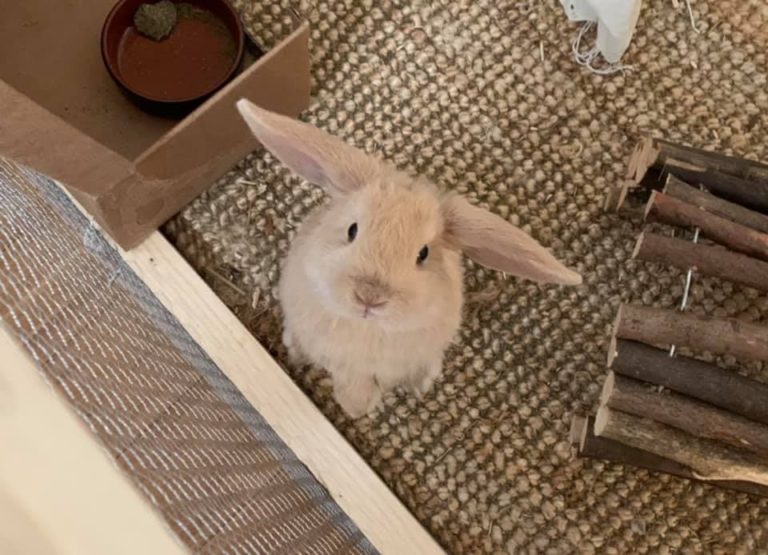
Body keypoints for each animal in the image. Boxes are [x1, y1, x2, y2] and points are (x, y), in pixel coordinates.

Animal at [236, 99, 582, 418]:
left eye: (423, 254)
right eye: (352, 230)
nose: (369, 296)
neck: (369, 328)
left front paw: (378, 401)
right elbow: (353, 383)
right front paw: (356, 408)